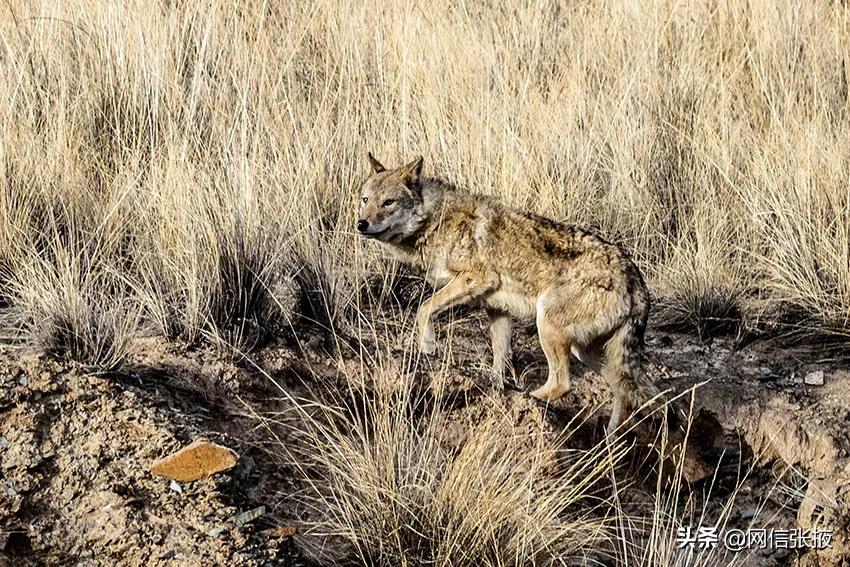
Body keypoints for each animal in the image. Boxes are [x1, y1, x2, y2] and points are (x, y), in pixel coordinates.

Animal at [356, 153, 657, 434]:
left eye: (388, 202)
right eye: (365, 199)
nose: (361, 224)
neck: (436, 220)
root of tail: (634, 277)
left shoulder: (474, 278)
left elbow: (424, 308)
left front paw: (428, 346)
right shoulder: (496, 309)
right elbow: (500, 357)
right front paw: (497, 389)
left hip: (549, 328)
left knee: (563, 383)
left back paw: (532, 399)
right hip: (588, 352)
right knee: (624, 395)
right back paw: (609, 442)